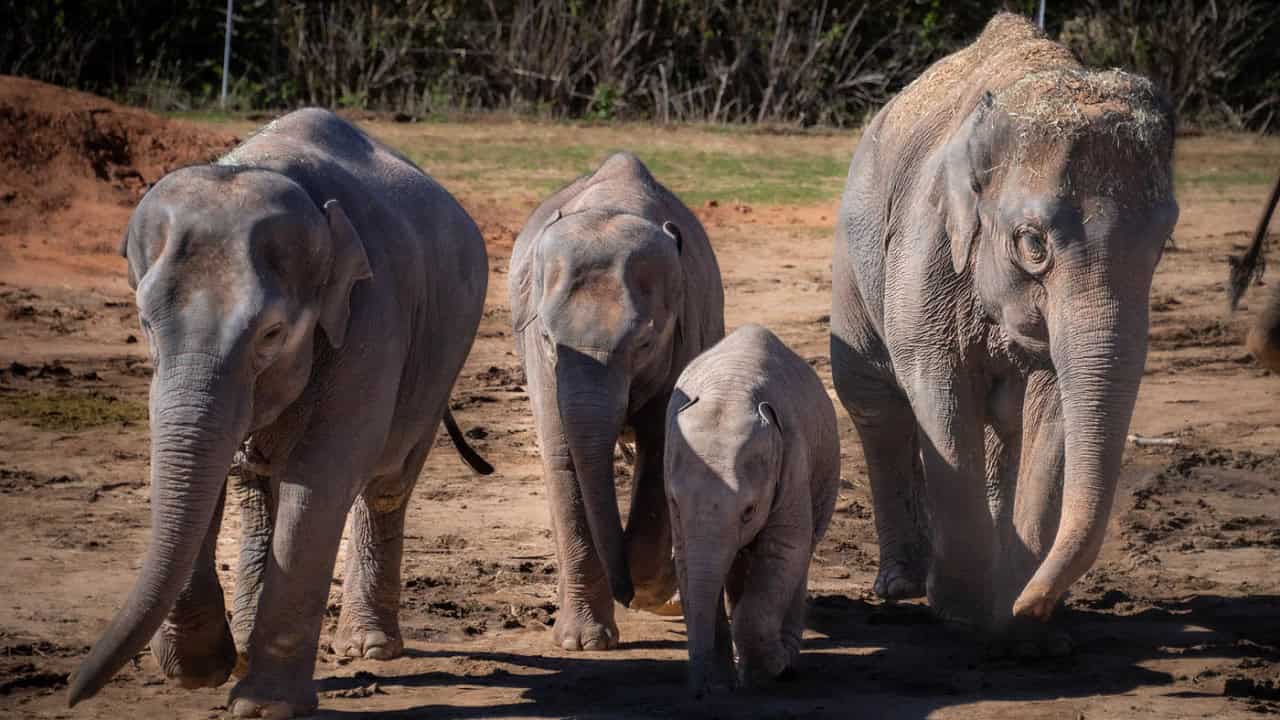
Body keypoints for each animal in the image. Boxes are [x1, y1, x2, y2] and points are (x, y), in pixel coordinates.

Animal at [67, 108, 491, 718]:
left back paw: (369, 646)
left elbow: (318, 483)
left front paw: (262, 705)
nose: (72, 690)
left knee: (387, 482)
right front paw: (202, 671)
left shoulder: (371, 317)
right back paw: (248, 641)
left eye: (271, 333)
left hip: (443, 356)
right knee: (254, 489)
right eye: (145, 322)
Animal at [508, 151, 724, 651]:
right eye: (547, 339)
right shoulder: (541, 365)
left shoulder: (685, 335)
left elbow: (661, 449)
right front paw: (583, 642)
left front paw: (647, 592)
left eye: (644, 344)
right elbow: (564, 458)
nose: (624, 590)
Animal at [664, 324, 839, 695]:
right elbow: (688, 562)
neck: (731, 393)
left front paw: (773, 668)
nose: (697, 693)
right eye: (674, 502)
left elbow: (784, 550)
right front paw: (723, 684)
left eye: (750, 509)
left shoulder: (793, 461)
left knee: (801, 553)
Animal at [829, 13, 1178, 652]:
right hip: (854, 257)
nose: (1035, 607)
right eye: (1033, 243)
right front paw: (964, 616)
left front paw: (1020, 626)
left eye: (1163, 241)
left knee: (1001, 431)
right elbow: (936, 391)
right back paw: (902, 586)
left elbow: (1055, 407)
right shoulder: (927, 251)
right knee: (875, 404)